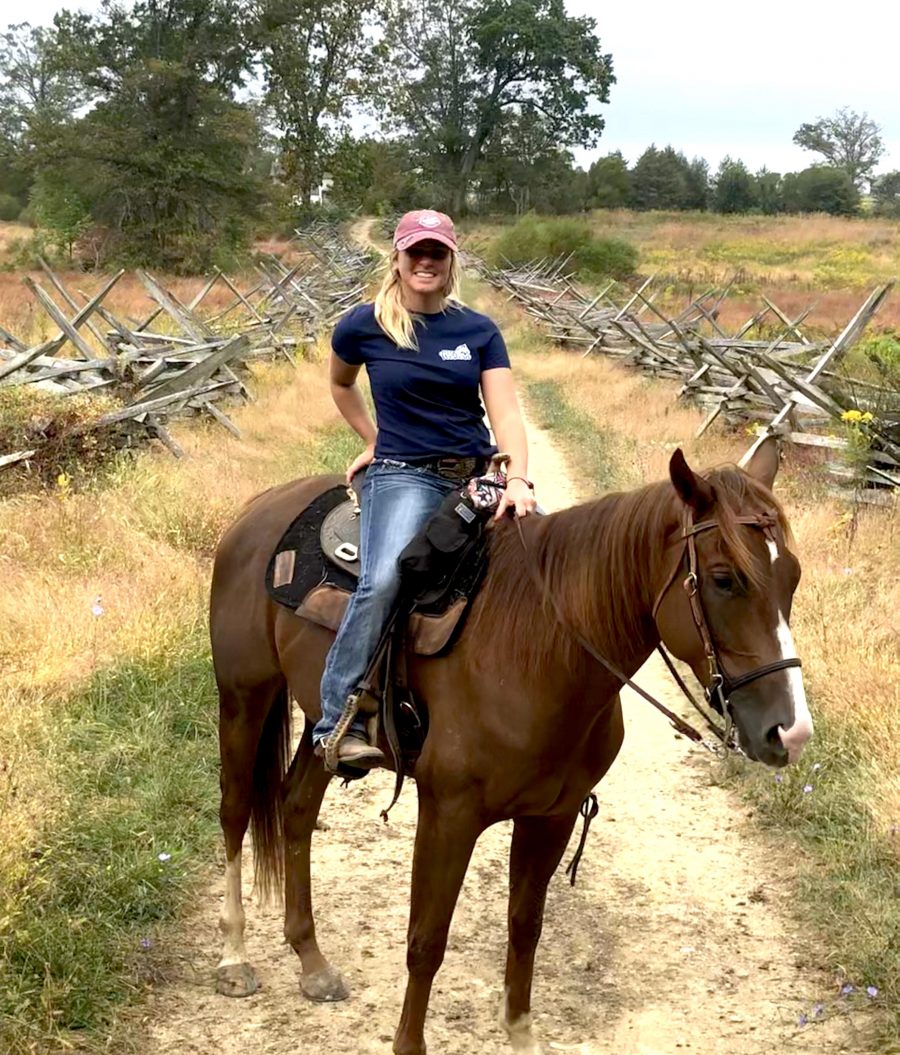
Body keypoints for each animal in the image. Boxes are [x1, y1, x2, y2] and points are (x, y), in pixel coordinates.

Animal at [209, 437, 812, 1055]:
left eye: (791, 577)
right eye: (723, 578)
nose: (789, 732)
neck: (539, 650)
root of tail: (261, 507)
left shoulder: (553, 816)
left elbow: (525, 928)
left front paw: (521, 1033)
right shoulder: (448, 815)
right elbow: (426, 940)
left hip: (318, 723)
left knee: (296, 809)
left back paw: (311, 960)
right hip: (244, 696)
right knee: (235, 812)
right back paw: (234, 957)